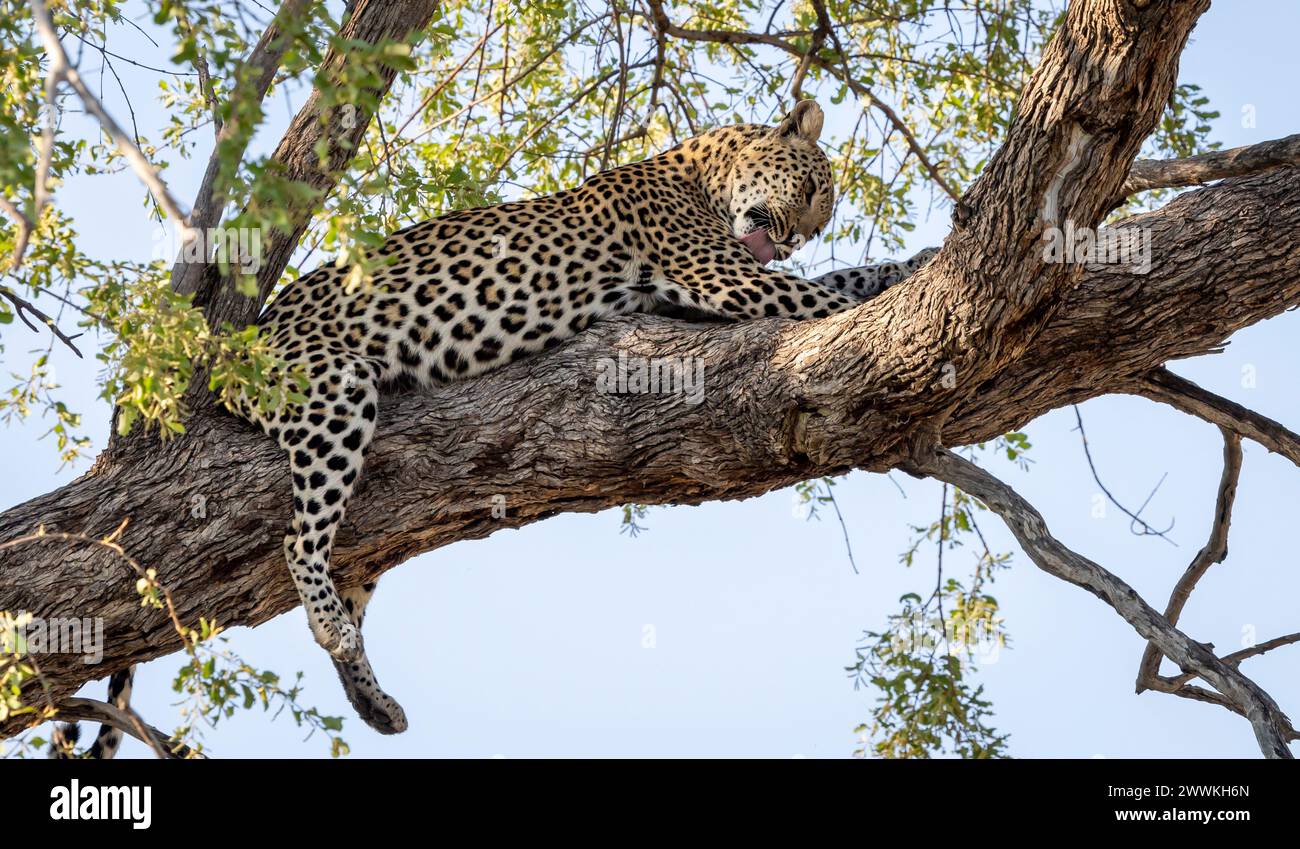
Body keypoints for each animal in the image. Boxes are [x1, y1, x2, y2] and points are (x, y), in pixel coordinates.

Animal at [63, 100, 937, 751]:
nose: (801, 234)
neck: (702, 169)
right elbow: (826, 295)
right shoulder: (728, 280)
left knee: (349, 571)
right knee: (299, 542)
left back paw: (374, 699)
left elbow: (853, 278)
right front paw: (915, 268)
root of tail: (237, 346)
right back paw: (336, 629)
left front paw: (920, 260)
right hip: (333, 388)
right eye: (814, 185)